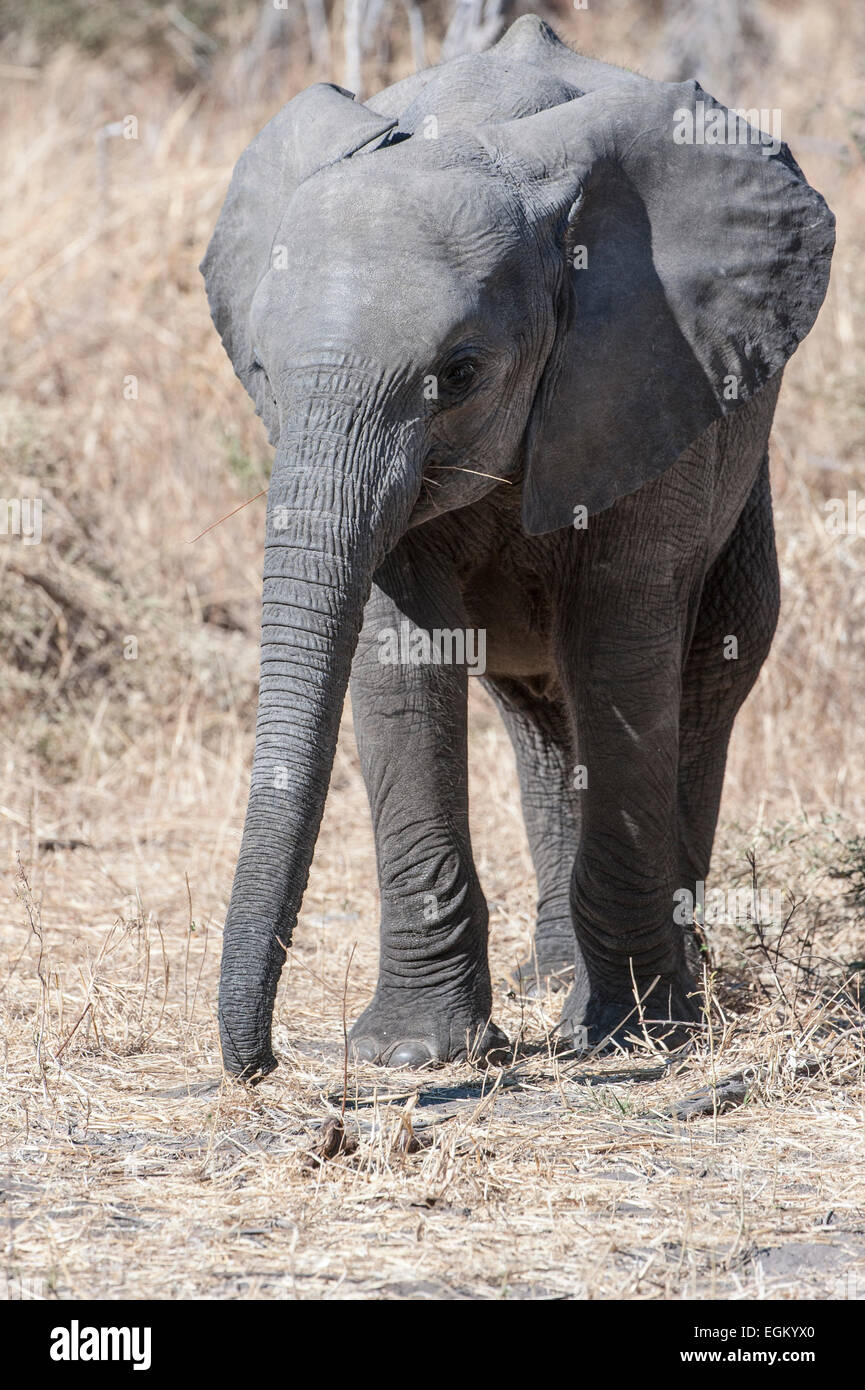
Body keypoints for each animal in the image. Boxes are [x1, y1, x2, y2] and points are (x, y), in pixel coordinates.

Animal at [201, 15, 834, 1079]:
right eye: (260, 371)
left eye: (459, 374)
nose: (264, 1063)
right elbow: (398, 655)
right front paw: (411, 1054)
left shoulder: (646, 371)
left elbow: (619, 644)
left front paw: (633, 1037)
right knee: (539, 714)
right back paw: (554, 973)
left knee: (707, 672)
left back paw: (671, 980)